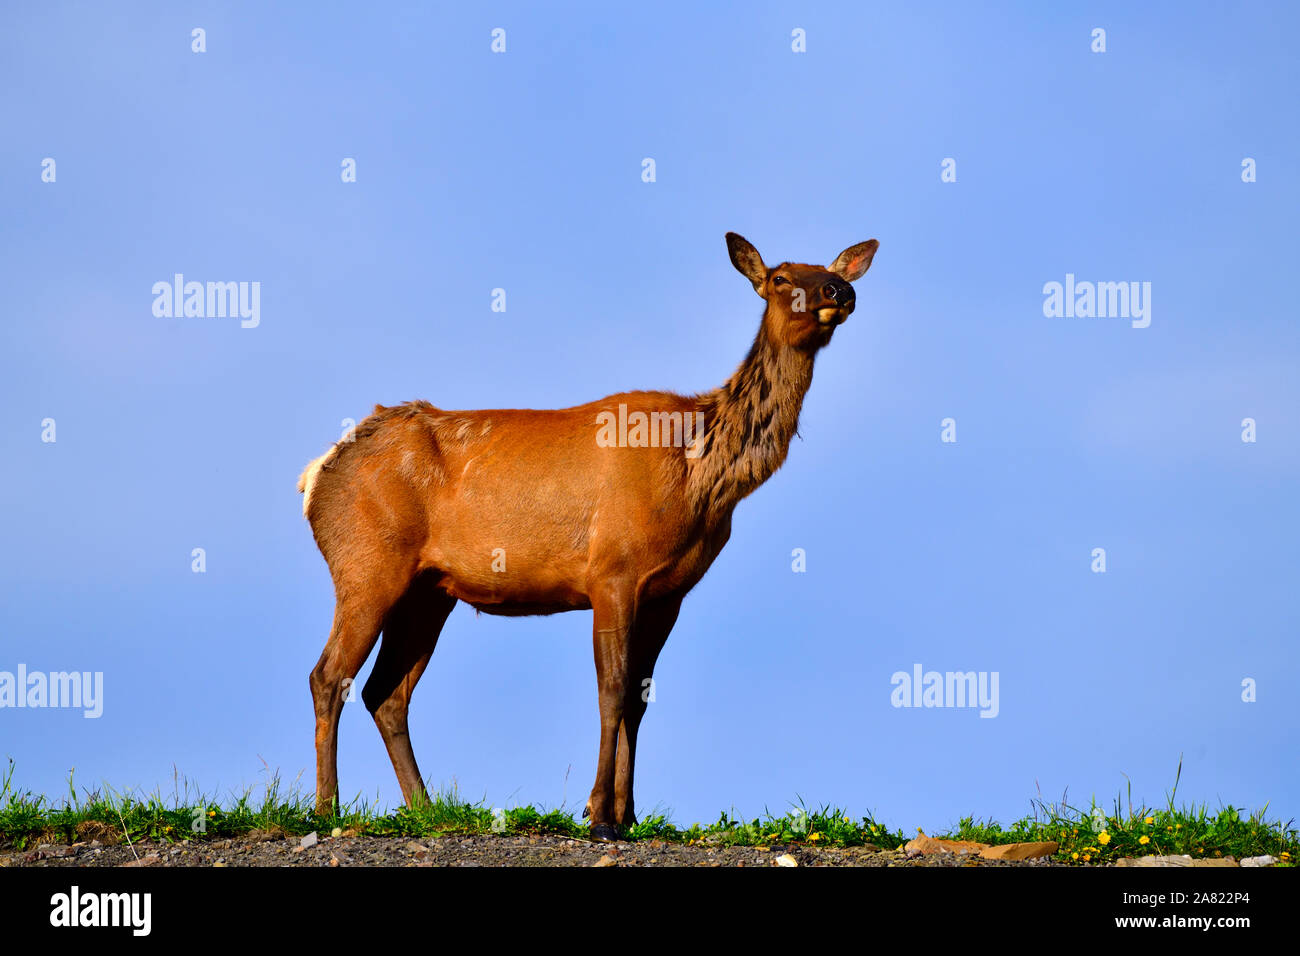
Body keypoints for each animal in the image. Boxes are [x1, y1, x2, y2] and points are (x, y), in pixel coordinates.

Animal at [298, 232, 879, 841]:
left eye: (831, 270)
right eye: (780, 277)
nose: (839, 289)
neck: (697, 473)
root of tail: (316, 476)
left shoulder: (669, 592)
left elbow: (640, 697)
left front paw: (629, 814)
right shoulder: (613, 571)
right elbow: (612, 688)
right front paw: (599, 816)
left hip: (428, 590)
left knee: (386, 692)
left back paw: (426, 809)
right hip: (367, 561)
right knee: (328, 675)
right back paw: (326, 810)